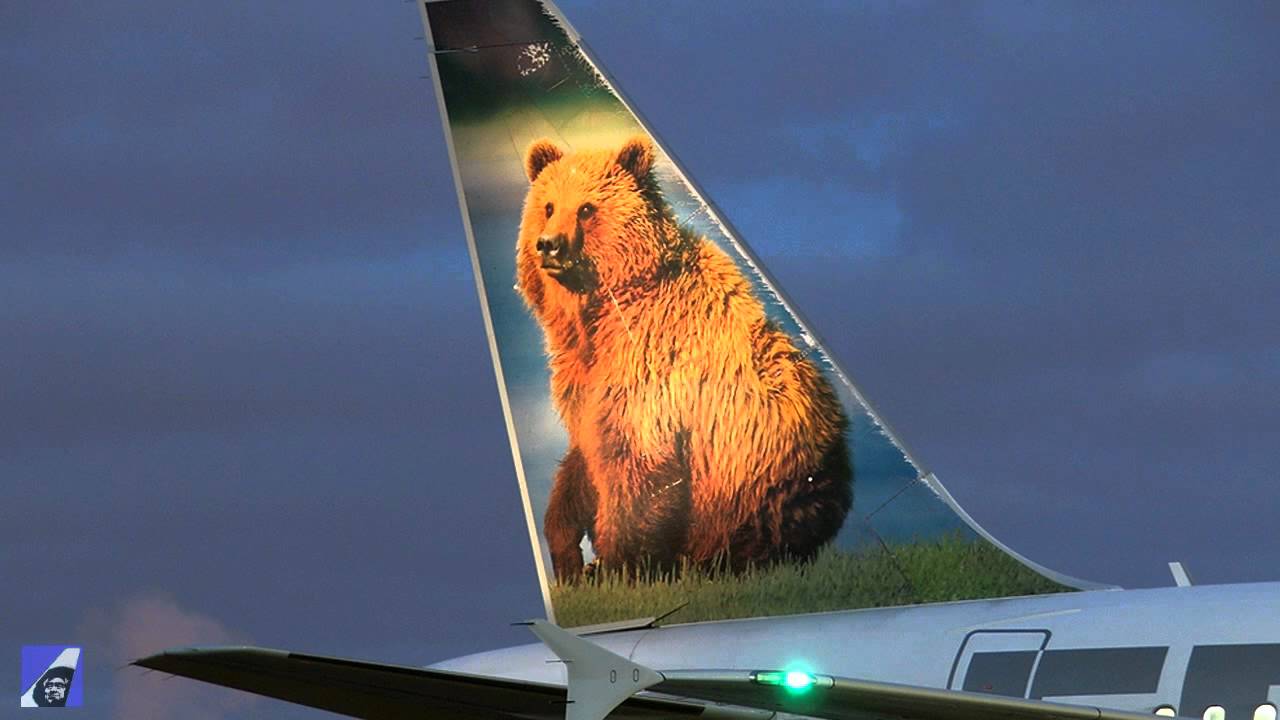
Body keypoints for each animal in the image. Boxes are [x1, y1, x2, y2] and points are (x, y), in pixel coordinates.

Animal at [516, 135, 852, 582]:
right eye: (549, 205)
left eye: (587, 208)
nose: (549, 244)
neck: (600, 311)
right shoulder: (583, 372)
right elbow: (585, 452)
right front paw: (568, 553)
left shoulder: (650, 360)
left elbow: (636, 461)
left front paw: (611, 565)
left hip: (758, 487)